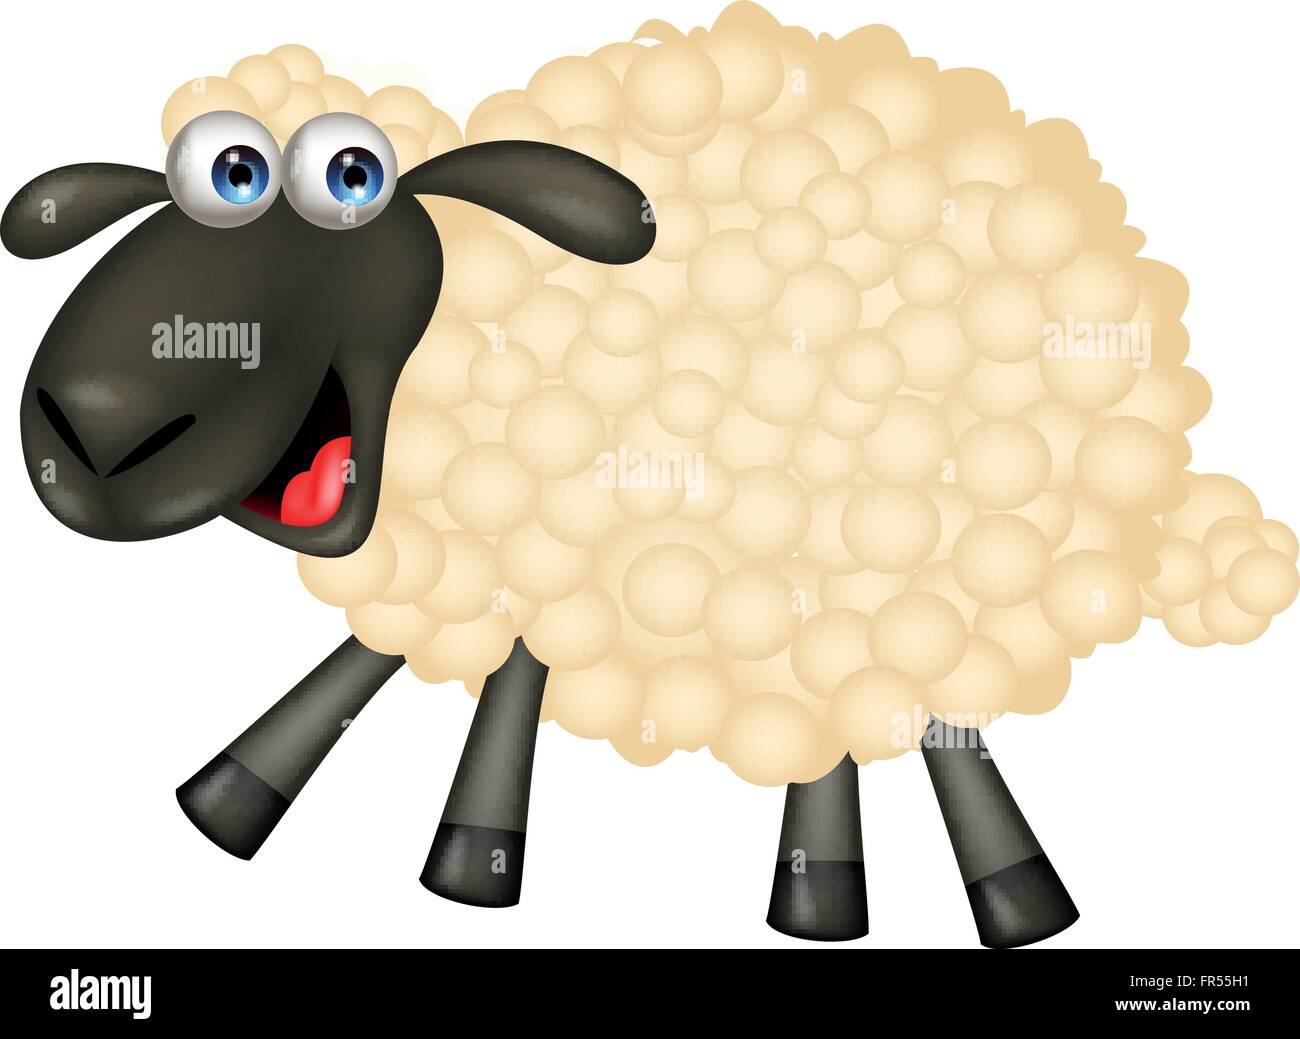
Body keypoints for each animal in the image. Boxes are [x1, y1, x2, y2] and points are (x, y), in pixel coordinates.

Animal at [6, 3, 1298, 948]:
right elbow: (435, 662)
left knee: (925, 713)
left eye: (351, 180)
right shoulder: (517, 548)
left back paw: (984, 903)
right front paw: (281, 817)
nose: (90, 435)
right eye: (214, 173)